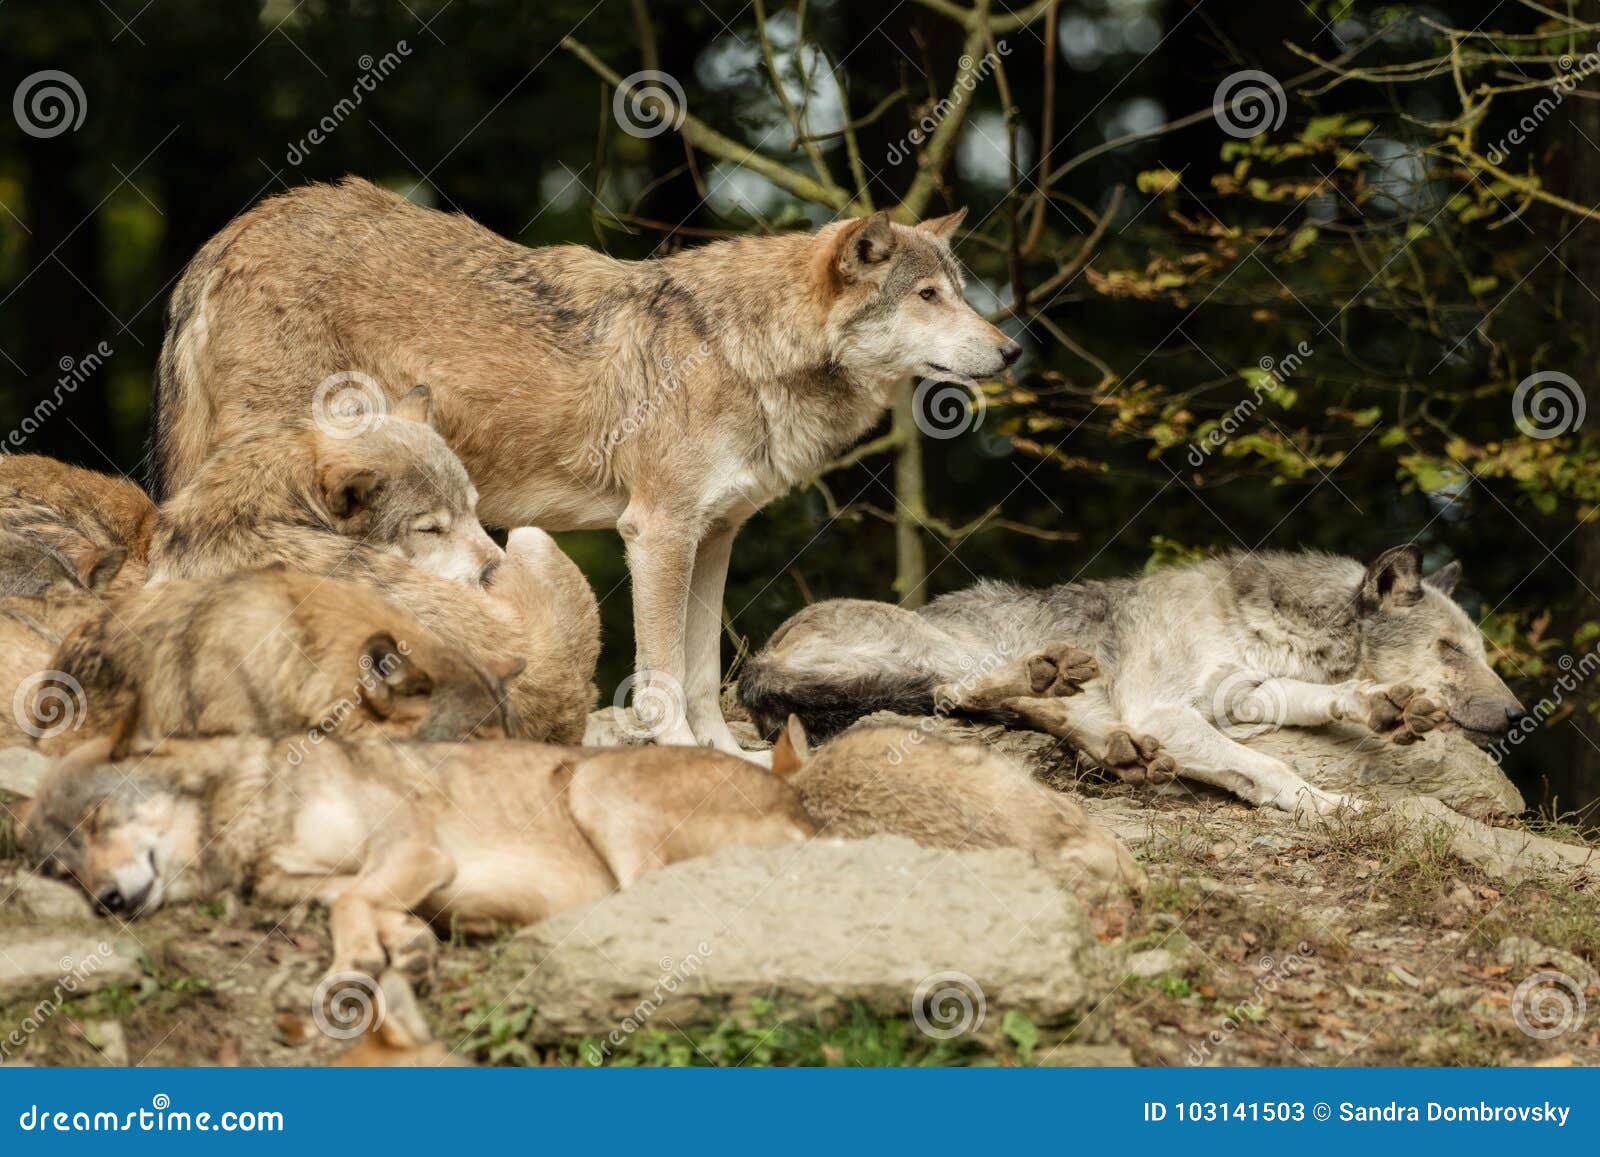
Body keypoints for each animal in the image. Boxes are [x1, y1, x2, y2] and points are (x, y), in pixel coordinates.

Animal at [18, 734, 815, 991]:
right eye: (62, 869)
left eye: (99, 819)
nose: (108, 901)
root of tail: (807, 812)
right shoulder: (306, 880)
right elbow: (347, 897)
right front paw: (404, 944)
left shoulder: (417, 848)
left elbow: (350, 901)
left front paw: (355, 965)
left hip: (596, 786)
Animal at [739, 546, 1526, 815]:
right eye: (1451, 649)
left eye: (1479, 650)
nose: (1522, 715)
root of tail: (757, 661)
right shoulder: (1169, 708)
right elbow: (1269, 764)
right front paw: (1322, 803)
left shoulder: (1242, 694)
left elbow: (1317, 704)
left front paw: (1384, 706)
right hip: (946, 646)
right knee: (961, 694)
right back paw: (1066, 691)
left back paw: (1112, 747)